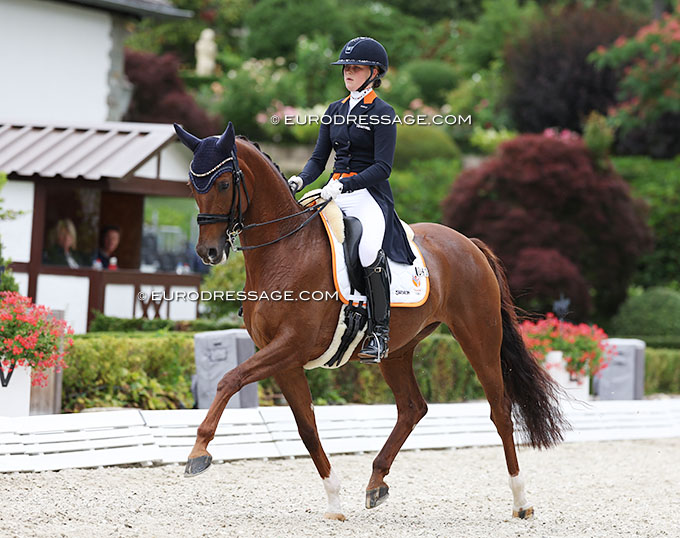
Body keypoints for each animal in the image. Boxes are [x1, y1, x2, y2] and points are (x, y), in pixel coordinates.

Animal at [174, 122, 568, 521]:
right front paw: (334, 500)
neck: (284, 250)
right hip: (397, 350)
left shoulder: (290, 346)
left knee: (500, 410)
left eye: (224, 184)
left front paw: (198, 452)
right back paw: (377, 483)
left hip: (479, 338)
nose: (208, 252)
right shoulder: (284, 358)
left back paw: (520, 499)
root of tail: (469, 243)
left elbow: (229, 379)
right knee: (412, 408)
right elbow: (307, 427)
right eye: (192, 185)